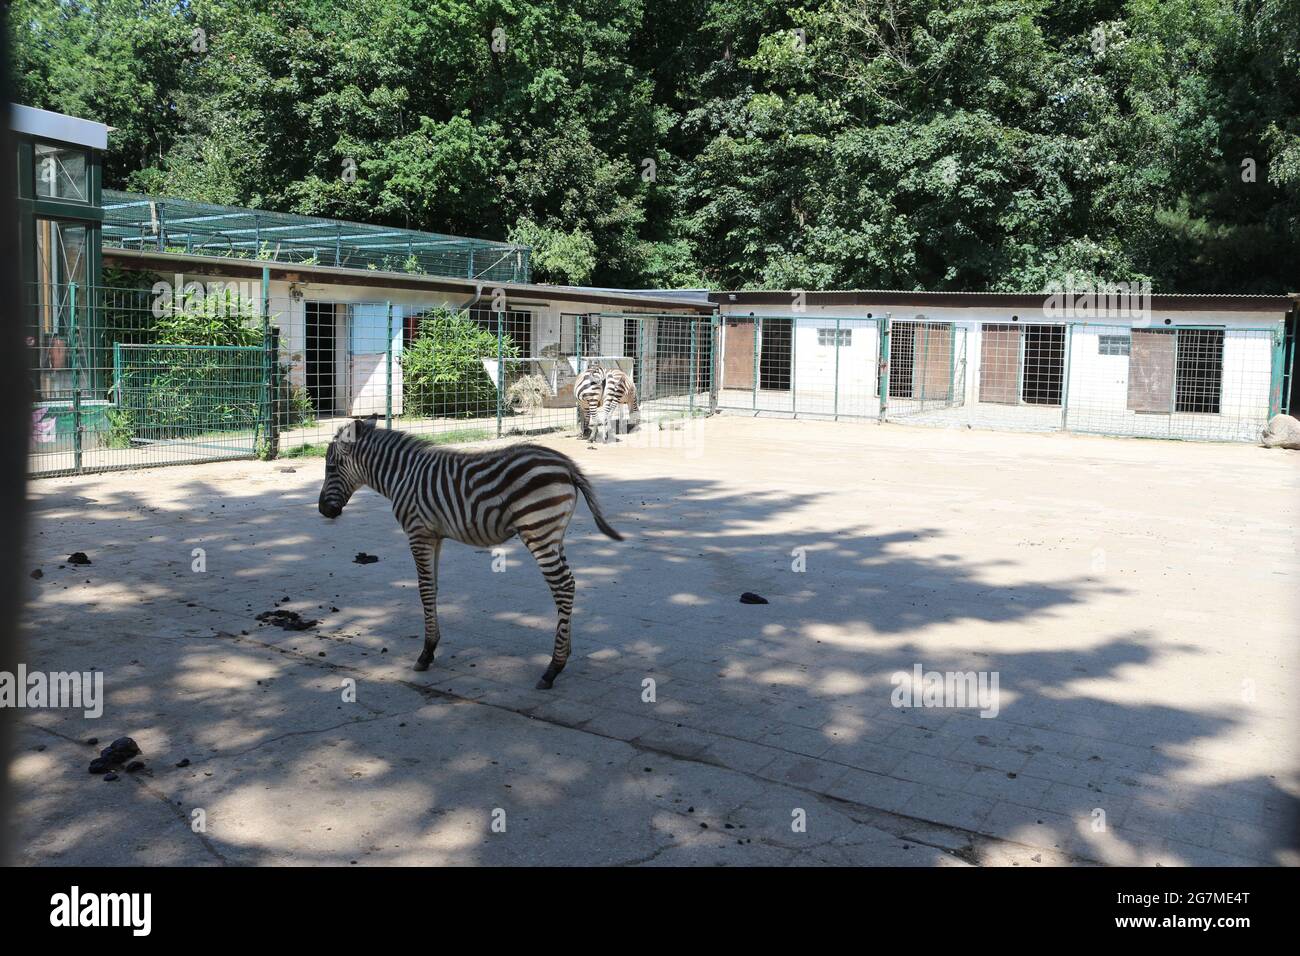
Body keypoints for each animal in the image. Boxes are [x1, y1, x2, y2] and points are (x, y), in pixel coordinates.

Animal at [317, 418, 623, 689]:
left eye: (331, 467)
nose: (323, 511)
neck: (401, 476)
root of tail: (566, 464)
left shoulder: (418, 533)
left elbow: (424, 589)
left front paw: (425, 654)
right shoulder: (435, 536)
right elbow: (433, 587)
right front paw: (432, 646)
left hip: (538, 530)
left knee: (562, 586)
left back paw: (553, 669)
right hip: (553, 535)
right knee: (569, 584)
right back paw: (564, 655)